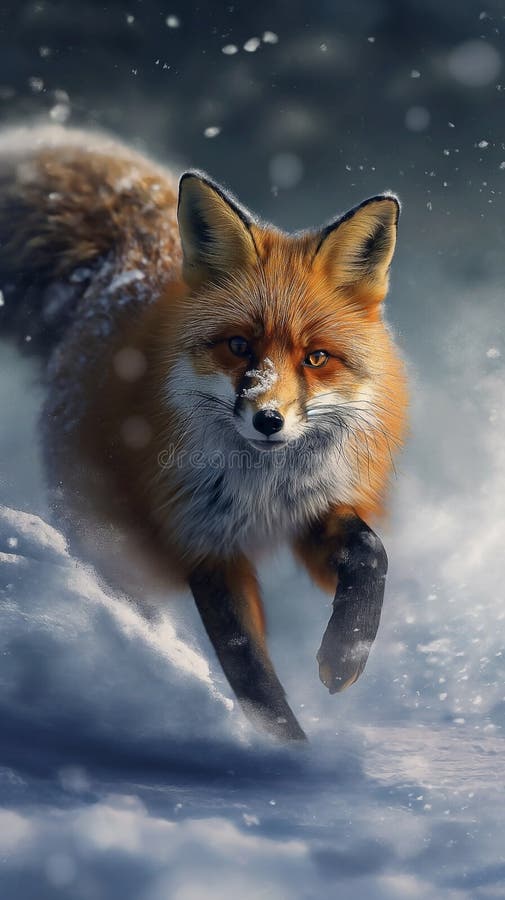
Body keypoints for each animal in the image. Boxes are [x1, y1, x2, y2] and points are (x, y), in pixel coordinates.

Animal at [0, 126, 407, 741]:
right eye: (238, 346)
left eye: (316, 358)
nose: (269, 420)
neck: (261, 489)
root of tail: (128, 261)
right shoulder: (204, 541)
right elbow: (252, 673)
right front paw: (288, 755)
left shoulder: (313, 509)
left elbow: (369, 552)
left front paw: (345, 657)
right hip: (116, 543)